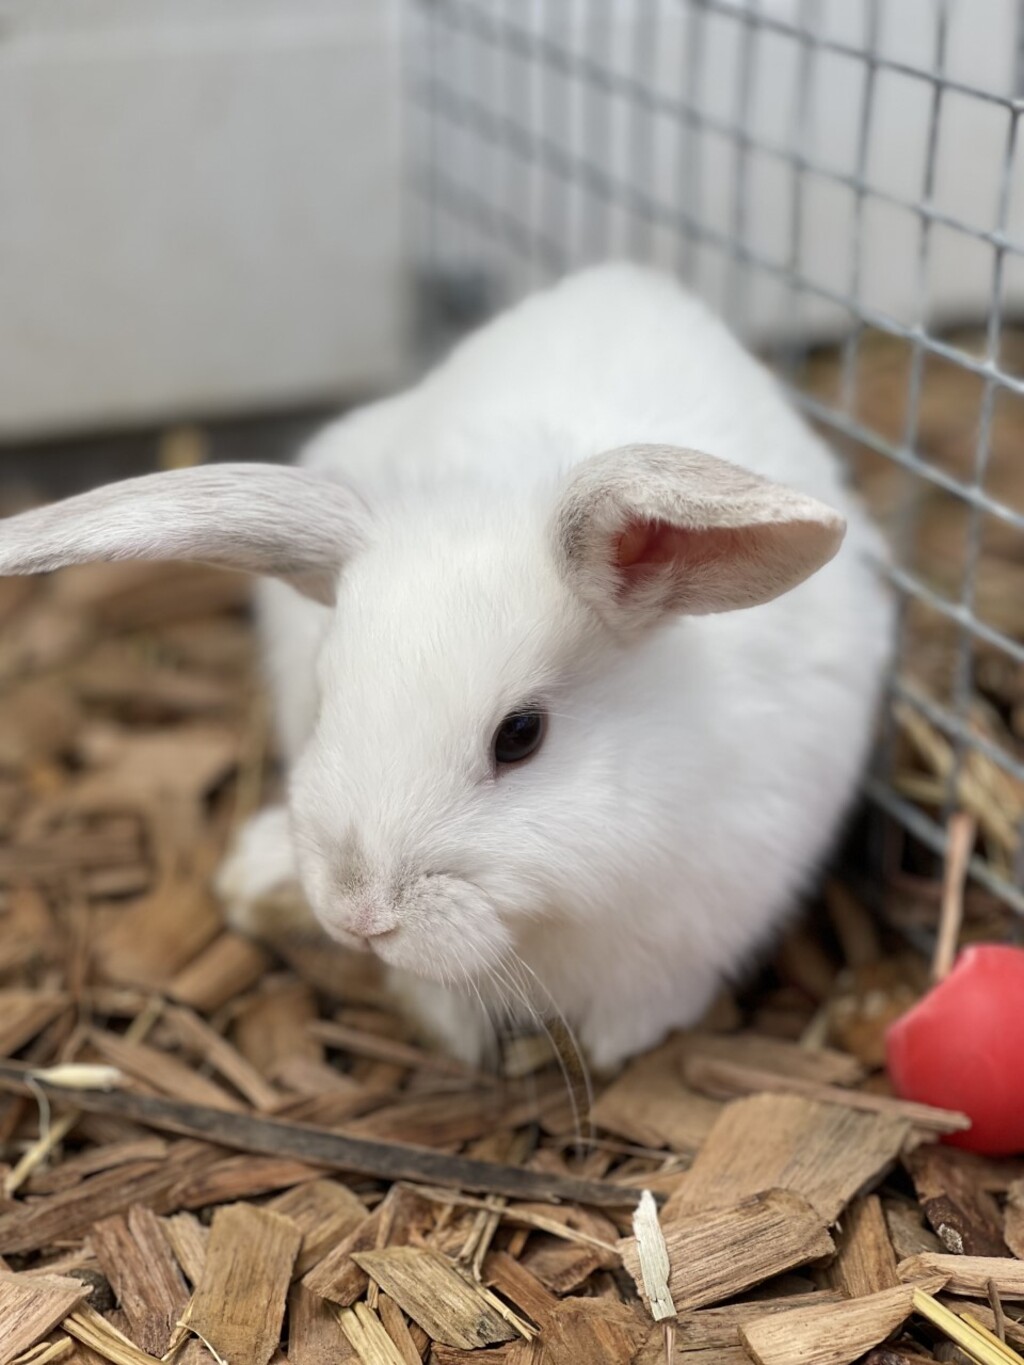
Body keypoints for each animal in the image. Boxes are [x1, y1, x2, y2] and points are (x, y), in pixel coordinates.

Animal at [0, 263, 893, 1071]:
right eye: (326, 700)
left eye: (521, 735)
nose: (361, 915)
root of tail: (626, 281)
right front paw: (452, 1030)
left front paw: (616, 1046)